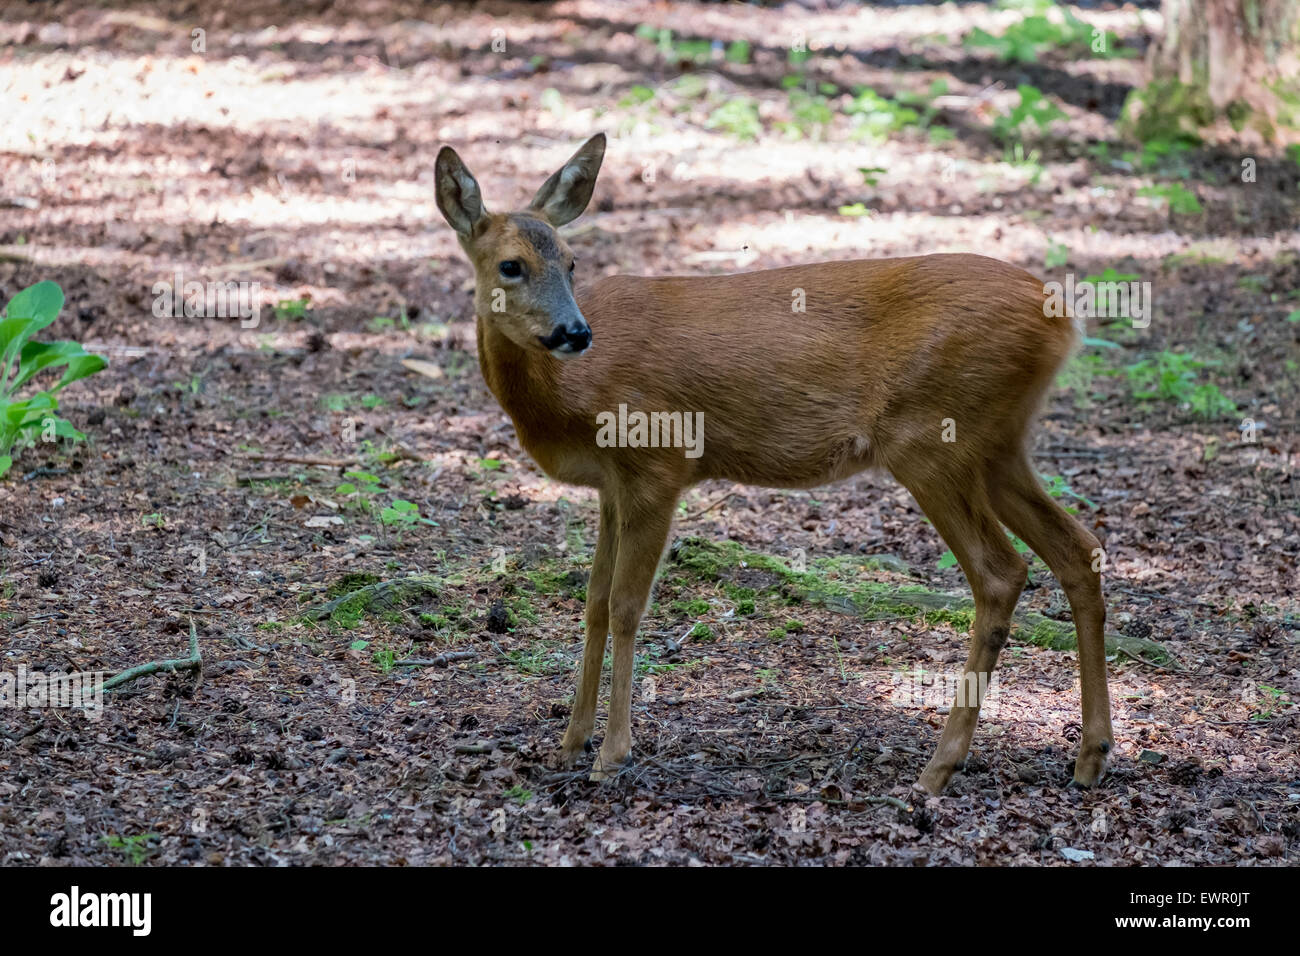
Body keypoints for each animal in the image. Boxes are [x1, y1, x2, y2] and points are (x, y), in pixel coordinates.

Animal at [433, 132, 1113, 795]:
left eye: (573, 263)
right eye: (512, 265)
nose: (575, 332)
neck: (569, 398)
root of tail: (1061, 317)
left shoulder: (657, 461)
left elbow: (627, 606)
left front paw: (611, 755)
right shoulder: (610, 486)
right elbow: (595, 603)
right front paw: (568, 744)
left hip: (931, 439)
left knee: (1001, 571)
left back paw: (940, 767)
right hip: (997, 443)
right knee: (1078, 548)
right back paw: (1091, 755)